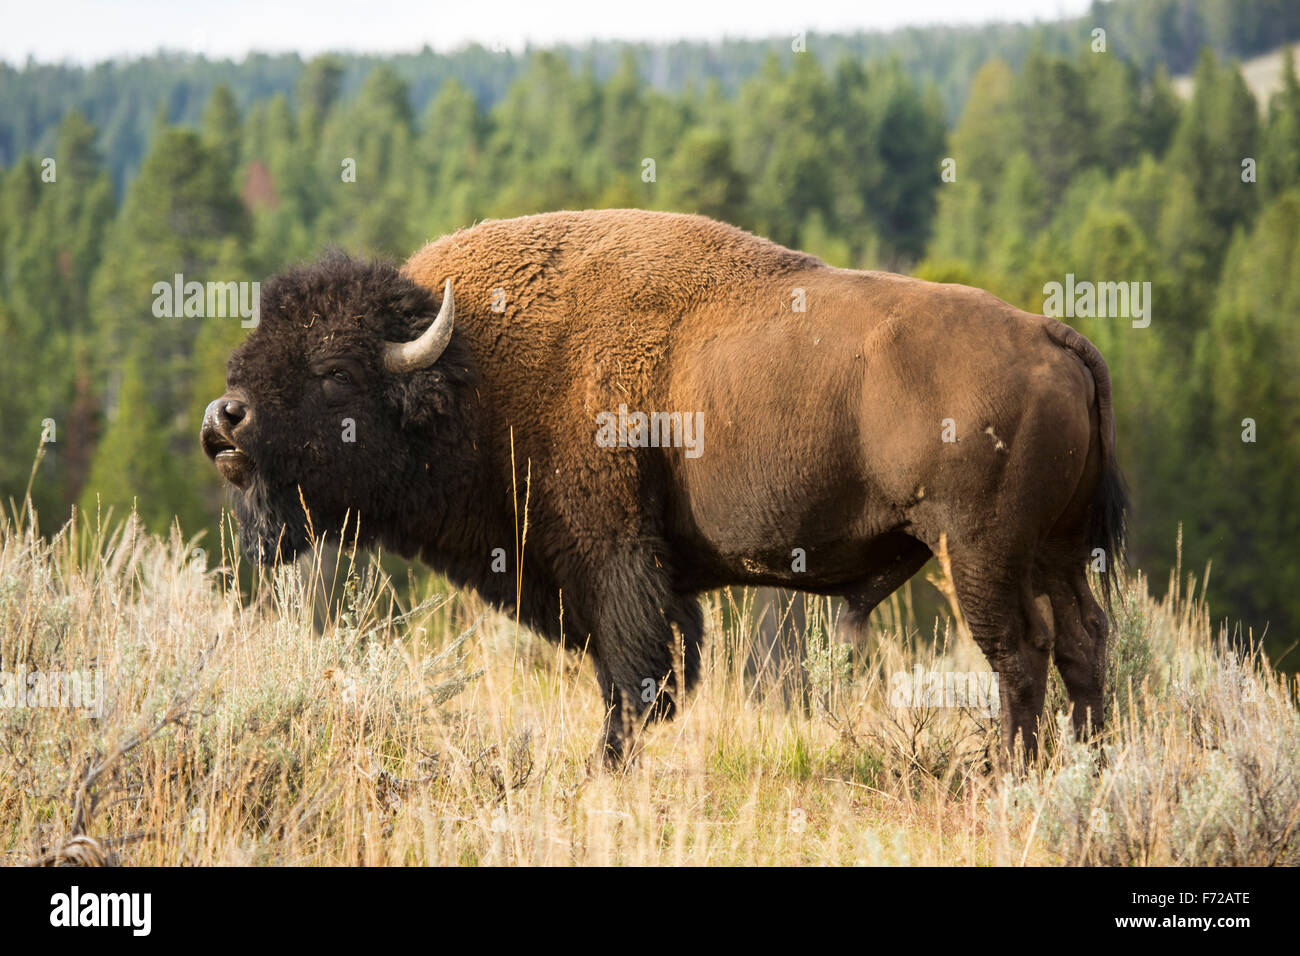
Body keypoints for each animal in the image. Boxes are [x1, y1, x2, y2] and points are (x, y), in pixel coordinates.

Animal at [201, 209, 1126, 765]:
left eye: (331, 370)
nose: (225, 421)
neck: (473, 372)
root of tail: (1053, 335)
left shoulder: (616, 564)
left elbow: (636, 679)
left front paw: (607, 766)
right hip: (1056, 550)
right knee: (1084, 642)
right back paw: (1091, 759)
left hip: (979, 551)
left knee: (1019, 652)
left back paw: (1011, 770)